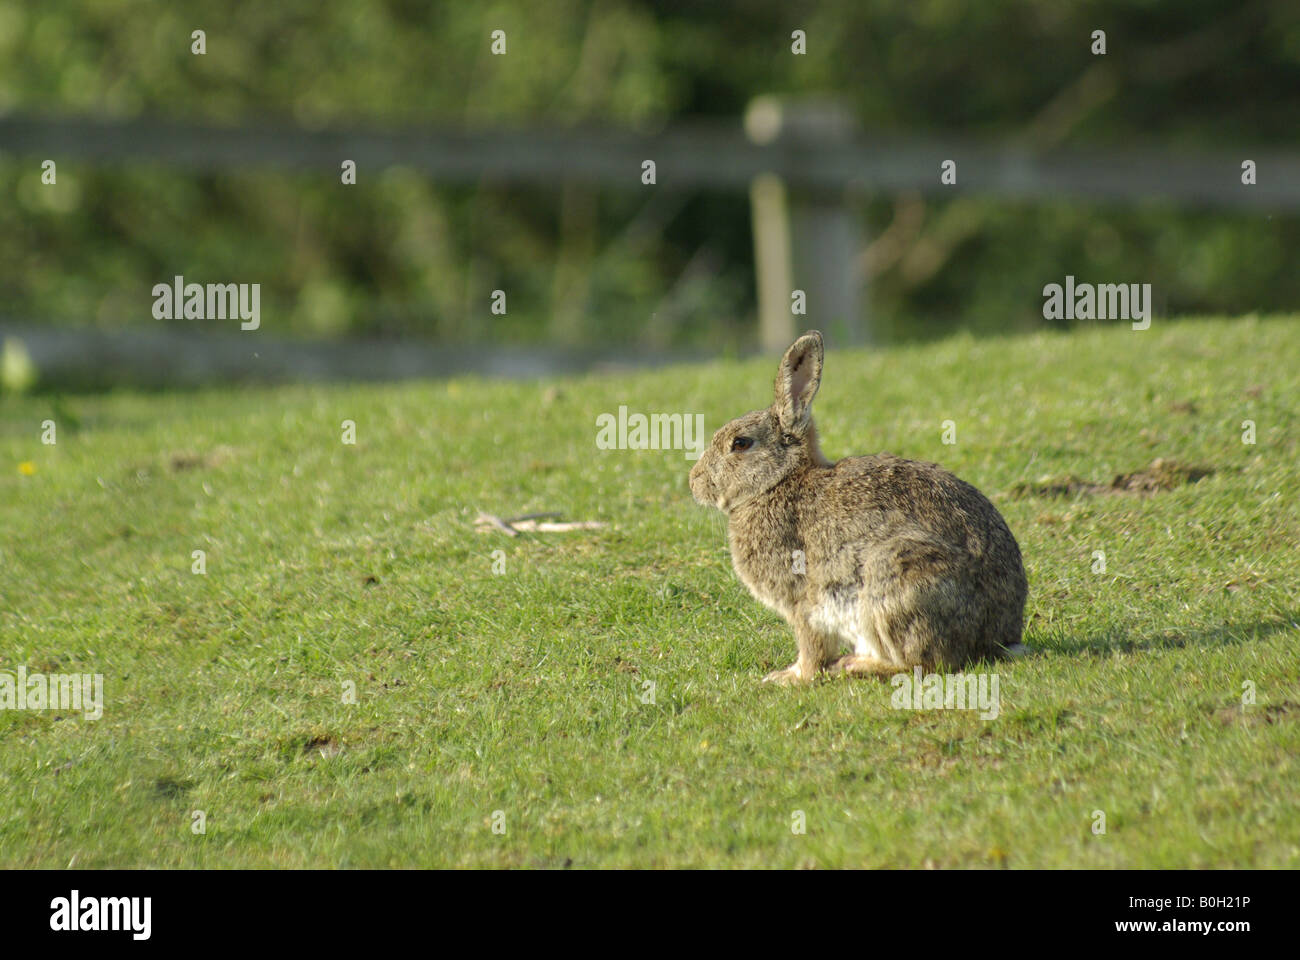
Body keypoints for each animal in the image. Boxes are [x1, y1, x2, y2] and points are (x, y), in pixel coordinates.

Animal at [689, 330, 1028, 685]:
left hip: (893, 577)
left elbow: (811, 646)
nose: (694, 482)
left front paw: (791, 677)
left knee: (925, 661)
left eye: (740, 444)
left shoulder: (803, 601)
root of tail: (998, 636)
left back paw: (853, 665)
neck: (779, 481)